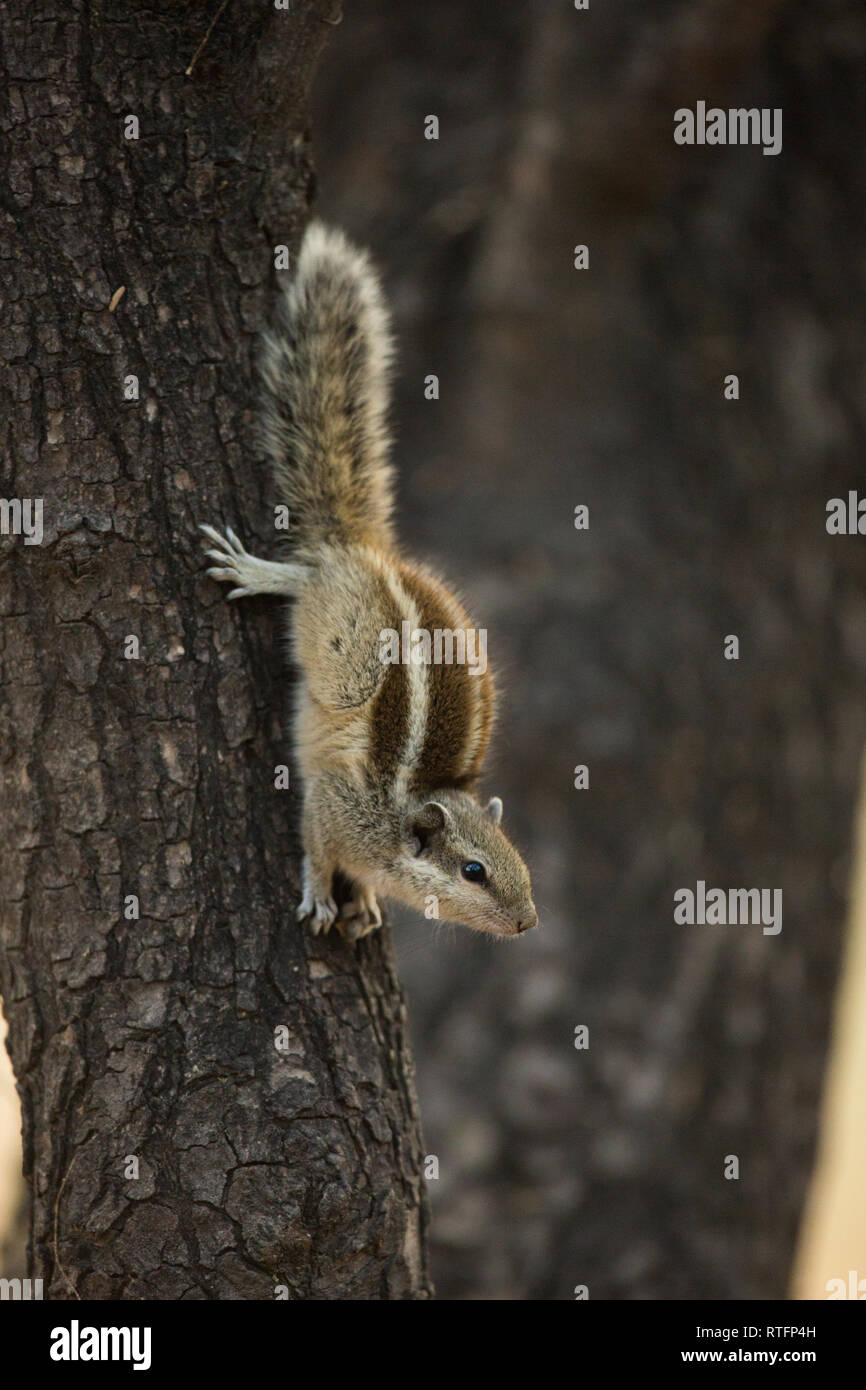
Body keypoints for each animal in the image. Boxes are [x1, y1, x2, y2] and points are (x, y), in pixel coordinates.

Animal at [201, 223, 537, 943]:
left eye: (518, 860)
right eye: (474, 871)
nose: (528, 923)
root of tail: (369, 552)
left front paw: (369, 904)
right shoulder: (335, 804)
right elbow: (314, 843)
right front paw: (323, 894)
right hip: (337, 630)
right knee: (309, 574)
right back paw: (258, 569)